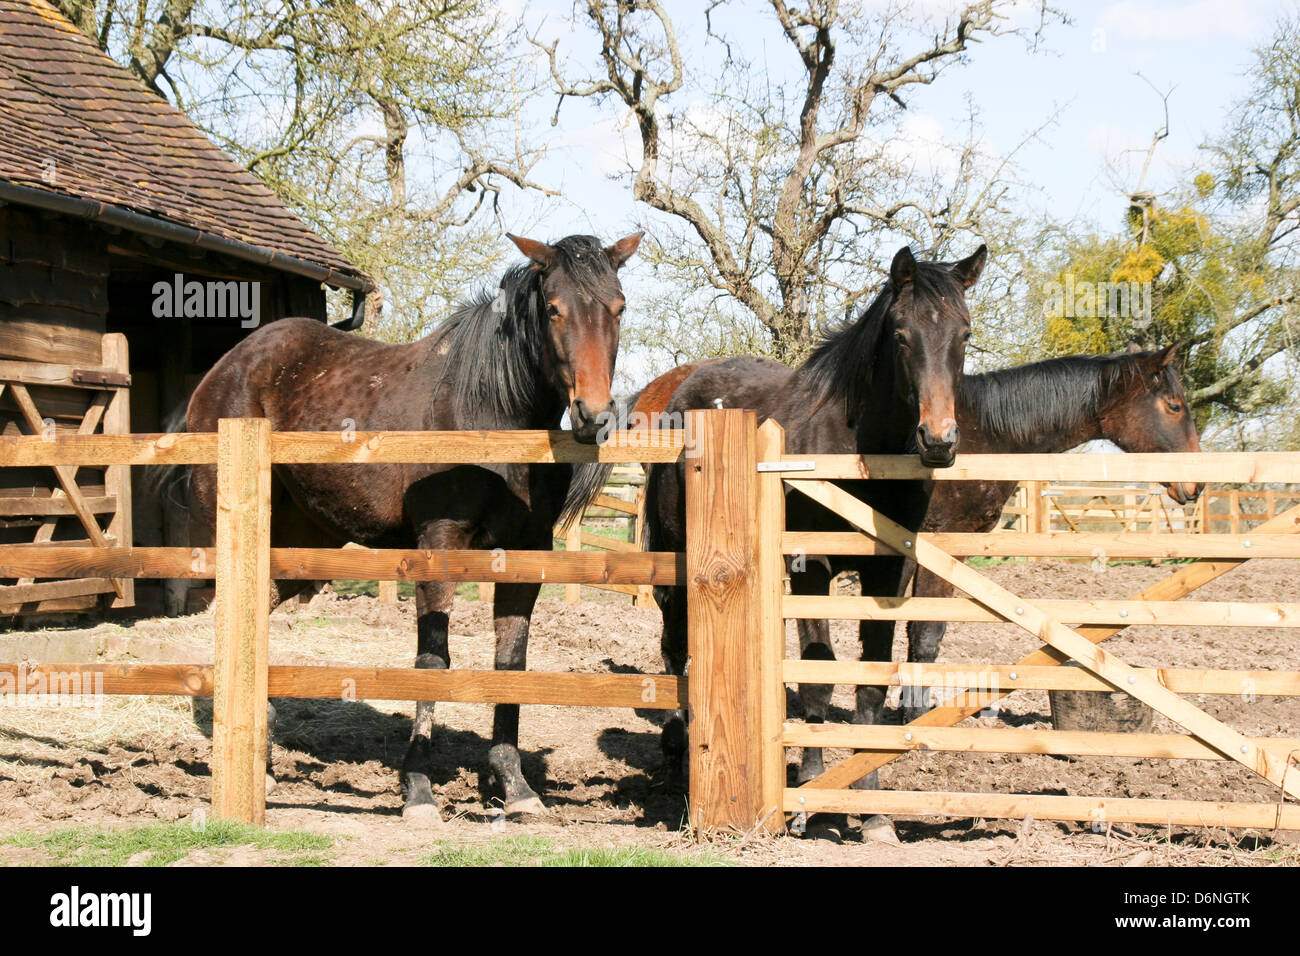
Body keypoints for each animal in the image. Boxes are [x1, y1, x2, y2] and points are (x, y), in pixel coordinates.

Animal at [182, 231, 642, 822]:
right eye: (553, 309)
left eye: (619, 307)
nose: (593, 414)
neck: (489, 415)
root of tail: (224, 369)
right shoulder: (438, 546)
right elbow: (432, 662)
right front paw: (419, 789)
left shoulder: (526, 554)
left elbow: (510, 663)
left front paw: (514, 786)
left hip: (300, 541)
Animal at [641, 244, 988, 789]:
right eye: (901, 334)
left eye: (965, 333)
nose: (938, 440)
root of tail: (682, 390)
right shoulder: (813, 566)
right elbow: (819, 671)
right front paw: (810, 780)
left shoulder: (890, 570)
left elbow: (872, 675)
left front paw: (865, 787)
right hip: (678, 552)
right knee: (677, 642)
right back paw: (679, 749)